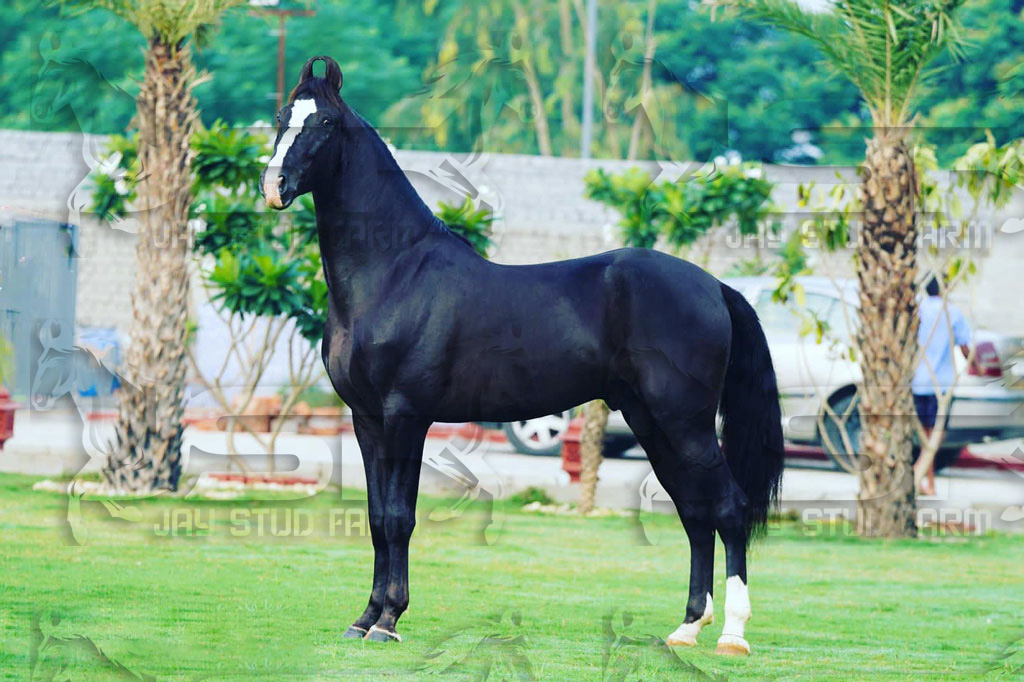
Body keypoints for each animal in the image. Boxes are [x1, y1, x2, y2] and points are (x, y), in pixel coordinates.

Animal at [260, 55, 785, 654]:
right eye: (281, 117)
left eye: (324, 123)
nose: (274, 186)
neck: (394, 272)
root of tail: (715, 286)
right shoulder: (366, 419)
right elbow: (374, 518)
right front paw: (364, 618)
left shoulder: (405, 416)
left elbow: (399, 517)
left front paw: (389, 621)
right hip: (653, 422)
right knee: (695, 513)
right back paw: (687, 627)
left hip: (686, 423)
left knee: (729, 508)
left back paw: (733, 635)